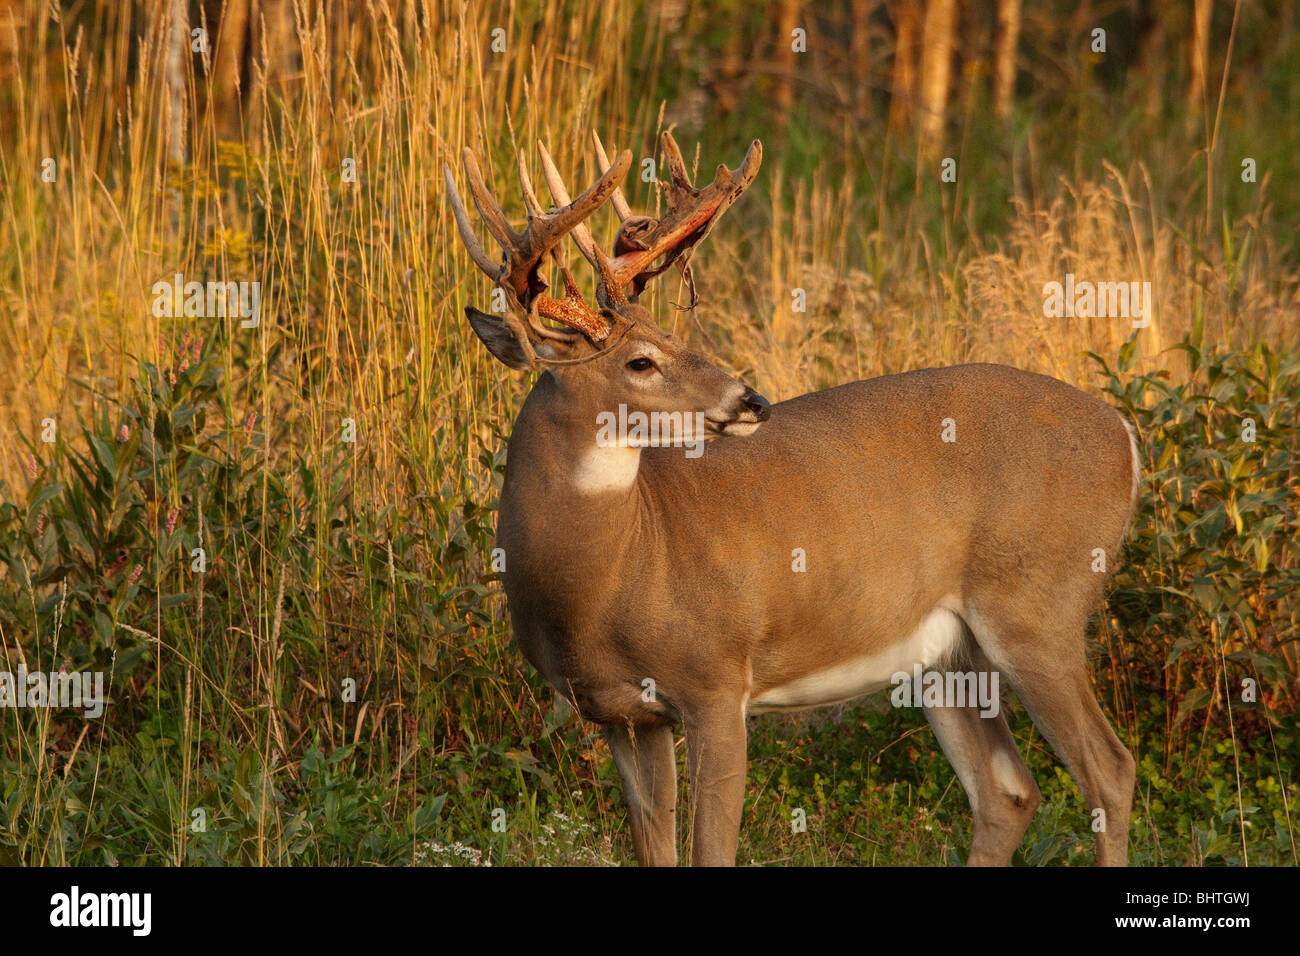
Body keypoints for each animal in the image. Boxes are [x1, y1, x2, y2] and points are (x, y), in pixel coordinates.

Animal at [444, 129, 1139, 867]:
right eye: (641, 361)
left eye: (673, 337)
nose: (750, 399)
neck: (616, 573)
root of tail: (1123, 434)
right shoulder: (624, 716)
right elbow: (654, 846)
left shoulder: (717, 679)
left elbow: (711, 849)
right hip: (947, 658)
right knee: (1007, 790)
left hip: (1040, 607)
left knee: (1110, 770)